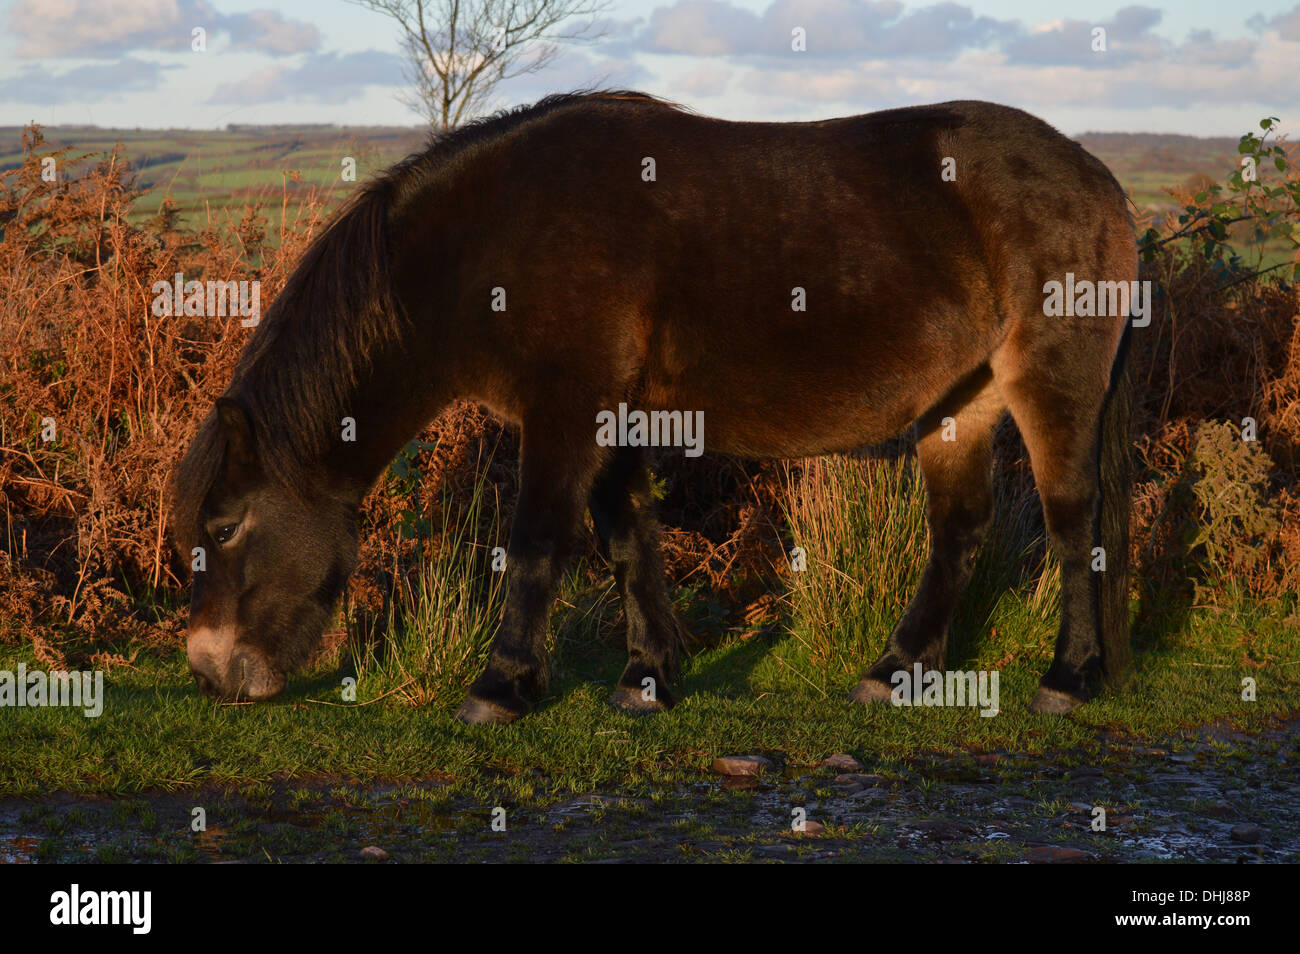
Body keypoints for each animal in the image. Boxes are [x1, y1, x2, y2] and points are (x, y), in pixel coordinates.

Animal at [171, 91, 1135, 723]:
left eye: (225, 526)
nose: (211, 675)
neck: (499, 235)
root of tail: (1097, 176)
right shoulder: (615, 417)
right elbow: (628, 540)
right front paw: (649, 678)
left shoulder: (565, 411)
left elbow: (536, 545)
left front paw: (501, 686)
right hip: (961, 401)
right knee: (961, 532)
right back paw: (897, 671)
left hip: (1050, 381)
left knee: (1071, 520)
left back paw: (1068, 677)